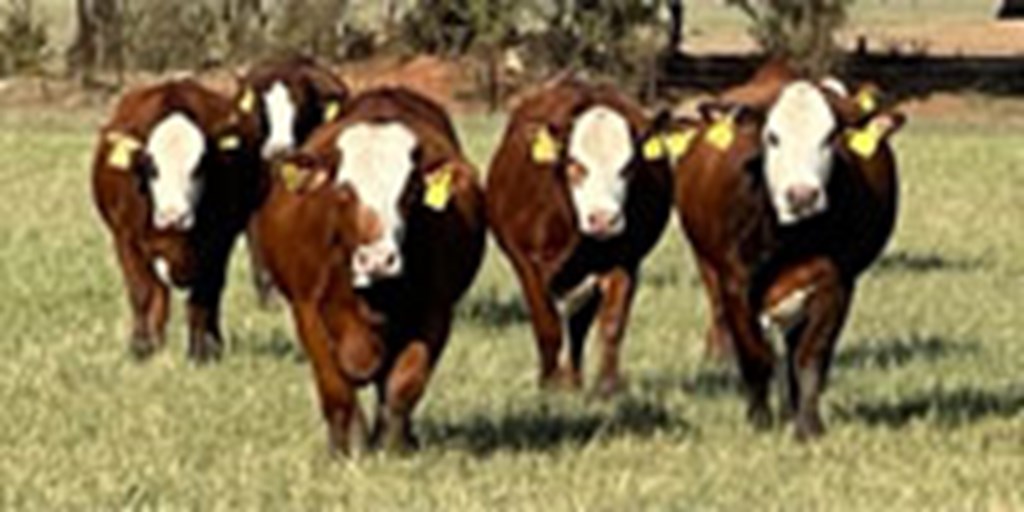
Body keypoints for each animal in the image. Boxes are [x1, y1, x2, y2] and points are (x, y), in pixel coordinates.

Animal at [92, 79, 263, 361]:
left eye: (200, 166)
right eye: (151, 166)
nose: (175, 216)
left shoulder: (219, 243)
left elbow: (204, 296)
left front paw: (201, 351)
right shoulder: (126, 239)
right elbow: (142, 293)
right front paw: (141, 347)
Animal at [251, 87, 486, 453]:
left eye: (411, 191)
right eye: (344, 190)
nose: (378, 260)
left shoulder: (436, 311)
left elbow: (404, 383)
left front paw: (392, 445)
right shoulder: (307, 310)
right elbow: (336, 388)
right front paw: (350, 447)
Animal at [487, 79, 678, 396]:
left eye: (628, 167)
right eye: (574, 164)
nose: (603, 219)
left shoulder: (627, 259)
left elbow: (612, 323)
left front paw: (607, 387)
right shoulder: (526, 260)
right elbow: (546, 323)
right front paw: (548, 384)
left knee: (579, 325)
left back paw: (574, 380)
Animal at [674, 62, 905, 439]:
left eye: (829, 137)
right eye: (773, 137)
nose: (802, 195)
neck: (787, 238)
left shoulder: (835, 284)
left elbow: (811, 357)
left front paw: (808, 425)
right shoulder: (736, 283)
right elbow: (755, 356)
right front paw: (759, 420)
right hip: (707, 264)